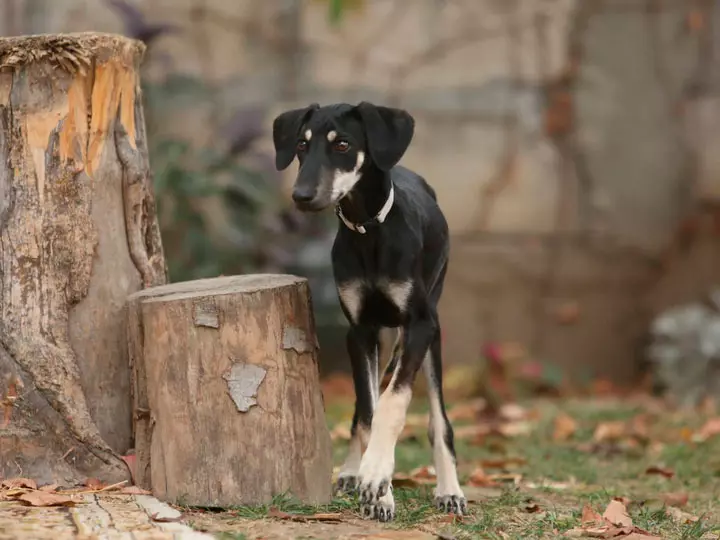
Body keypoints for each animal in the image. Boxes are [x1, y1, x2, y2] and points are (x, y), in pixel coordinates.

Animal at [272, 102, 466, 524]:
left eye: (342, 144)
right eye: (301, 145)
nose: (301, 195)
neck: (369, 231)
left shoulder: (419, 326)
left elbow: (393, 403)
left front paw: (377, 474)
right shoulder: (359, 330)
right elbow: (368, 411)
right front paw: (375, 489)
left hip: (431, 329)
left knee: (439, 421)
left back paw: (449, 490)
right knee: (362, 411)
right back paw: (350, 471)